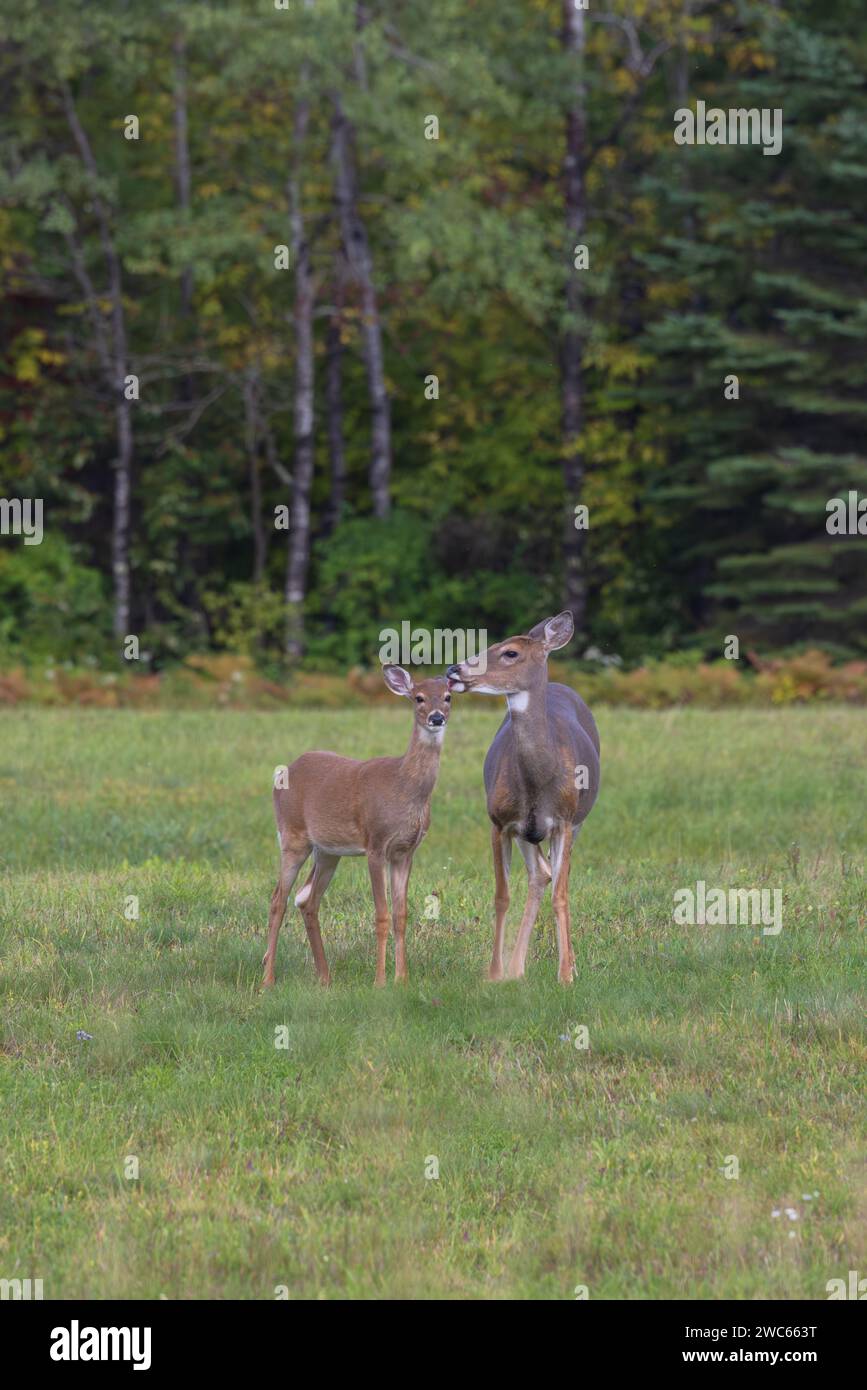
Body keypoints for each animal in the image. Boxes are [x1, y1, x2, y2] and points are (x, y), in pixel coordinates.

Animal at [261, 667, 452, 988]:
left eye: (449, 696)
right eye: (419, 697)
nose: (436, 717)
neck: (404, 787)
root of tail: (283, 772)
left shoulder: (405, 851)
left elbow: (401, 914)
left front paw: (402, 979)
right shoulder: (376, 843)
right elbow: (382, 914)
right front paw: (380, 981)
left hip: (328, 851)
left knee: (308, 902)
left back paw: (325, 977)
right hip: (292, 836)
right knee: (278, 900)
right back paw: (268, 980)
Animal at [446, 611, 599, 984]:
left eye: (510, 652)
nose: (454, 669)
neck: (538, 780)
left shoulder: (564, 821)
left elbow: (561, 895)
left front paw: (566, 974)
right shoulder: (500, 822)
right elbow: (502, 895)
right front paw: (495, 972)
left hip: (578, 821)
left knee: (550, 876)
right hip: (525, 833)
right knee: (539, 874)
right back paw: (517, 967)